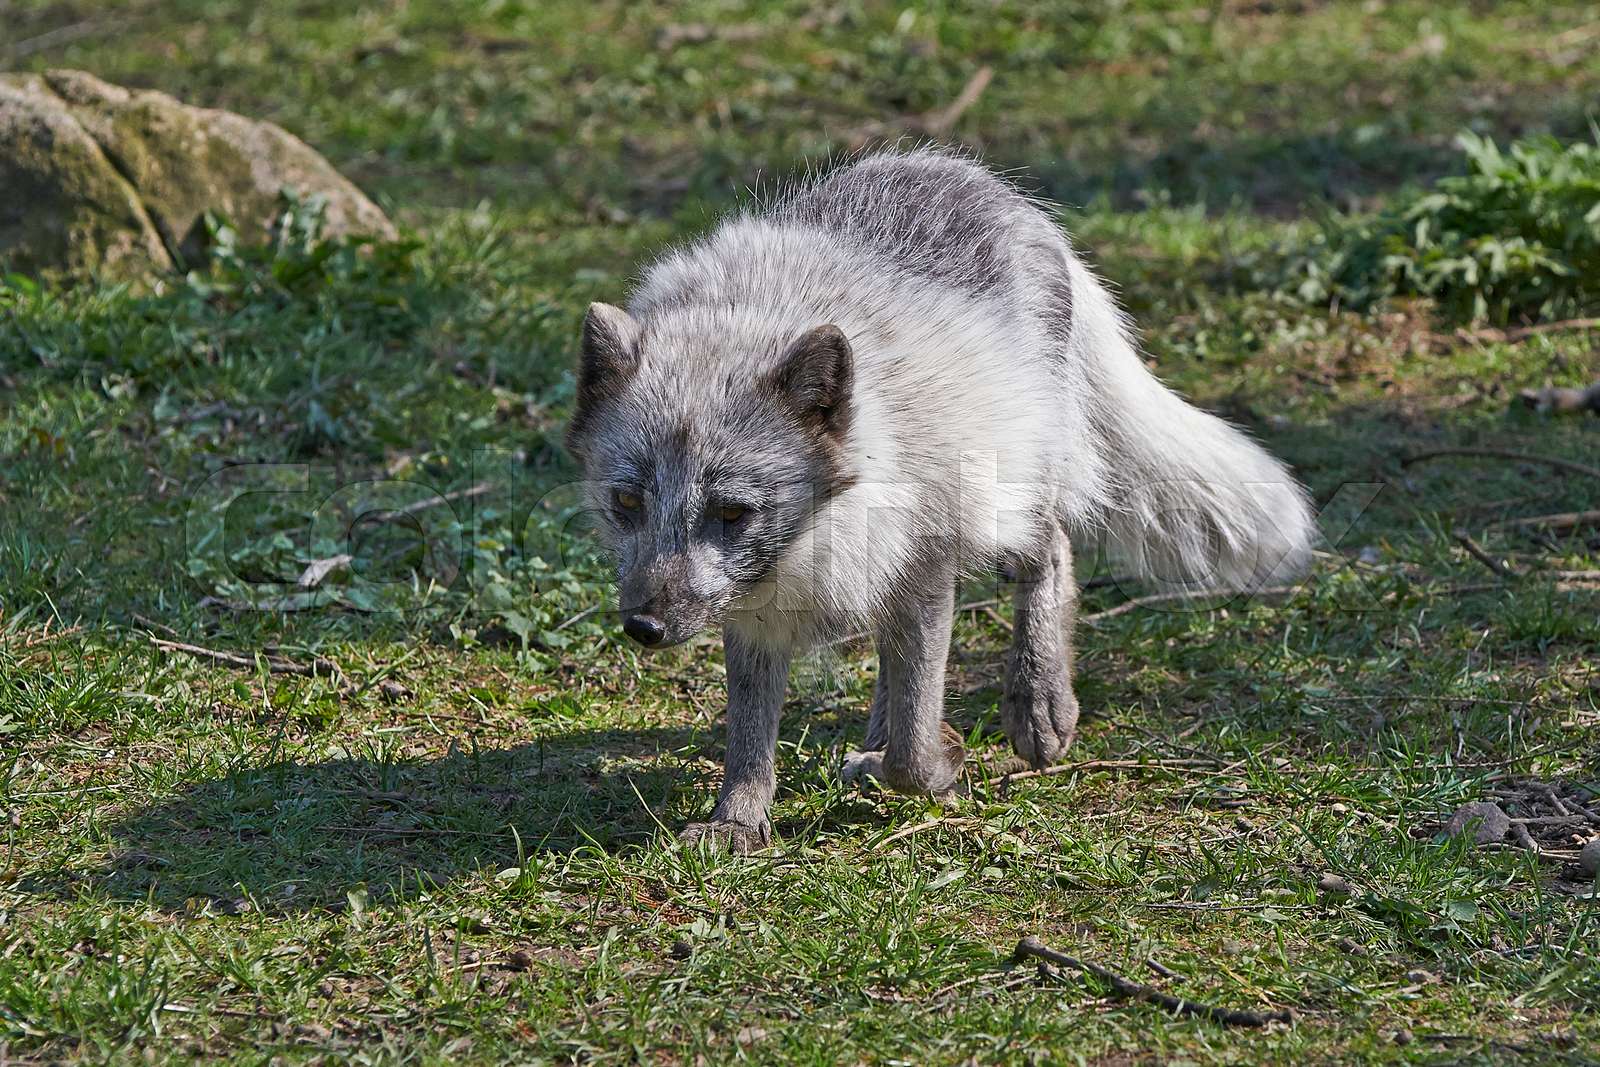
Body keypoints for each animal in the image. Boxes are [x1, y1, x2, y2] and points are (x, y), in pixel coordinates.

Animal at [565, 147, 1316, 853]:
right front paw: (738, 820)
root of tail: (981, 181)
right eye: (626, 502)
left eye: (730, 513)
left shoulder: (924, 570)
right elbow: (751, 735)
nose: (645, 628)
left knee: (1051, 549)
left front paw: (935, 763)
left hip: (1004, 486)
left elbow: (913, 748)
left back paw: (1037, 702)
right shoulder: (756, 610)